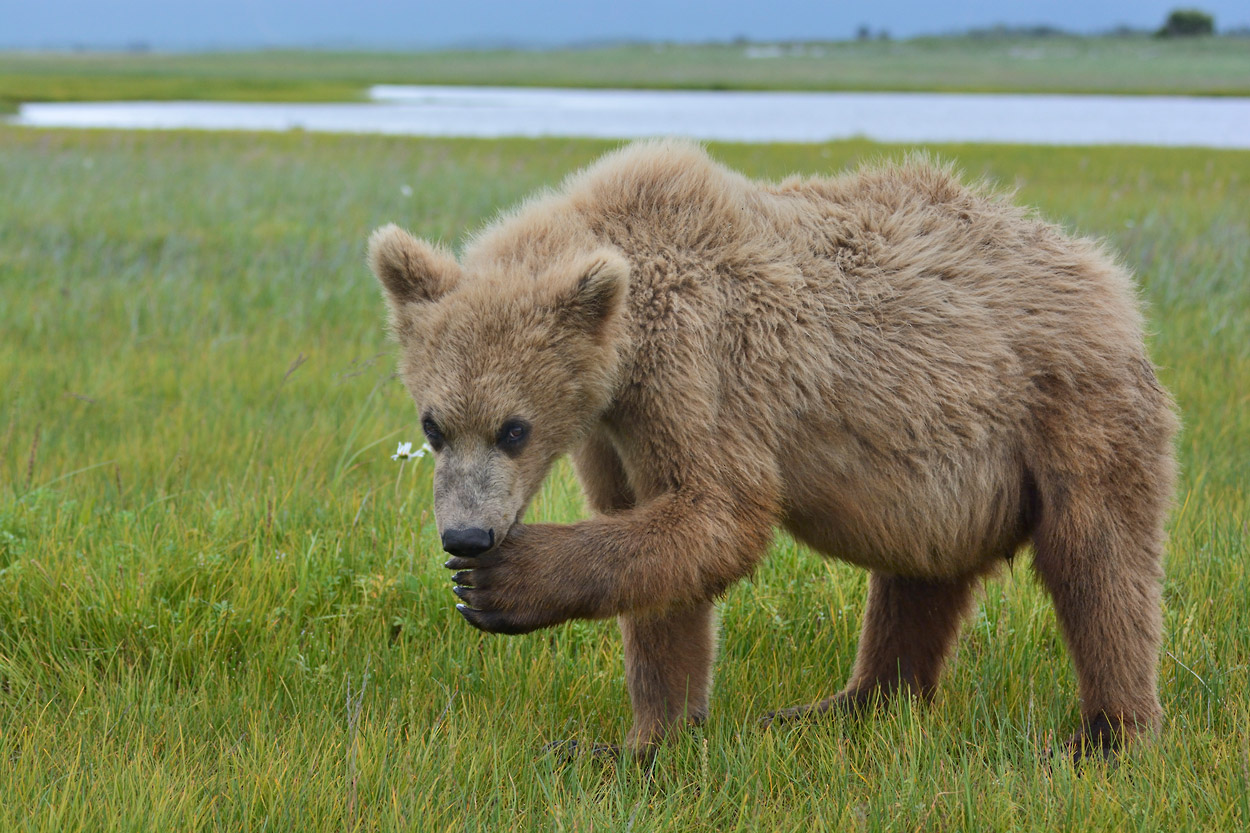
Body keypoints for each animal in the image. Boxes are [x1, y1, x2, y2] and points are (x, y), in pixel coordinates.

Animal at [368, 139, 1177, 761]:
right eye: (434, 424)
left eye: (514, 428)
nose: (466, 535)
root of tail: (1105, 272)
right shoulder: (613, 426)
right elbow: (660, 562)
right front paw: (639, 741)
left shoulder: (697, 370)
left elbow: (717, 513)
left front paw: (503, 583)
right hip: (941, 470)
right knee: (920, 577)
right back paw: (845, 703)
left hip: (1066, 408)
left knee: (1099, 561)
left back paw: (1106, 734)